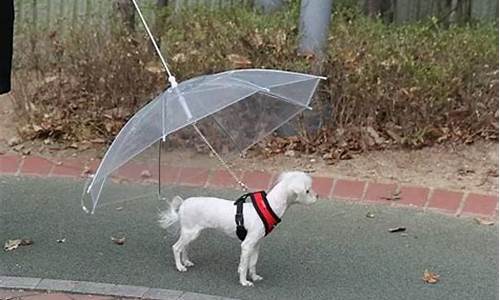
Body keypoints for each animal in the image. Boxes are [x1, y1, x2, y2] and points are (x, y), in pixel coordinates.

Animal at [158, 171, 318, 286]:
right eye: (307, 191)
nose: (317, 195)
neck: (268, 206)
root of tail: (183, 204)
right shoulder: (246, 245)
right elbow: (244, 265)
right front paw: (244, 281)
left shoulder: (256, 244)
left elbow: (252, 263)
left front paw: (254, 277)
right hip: (190, 232)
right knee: (176, 247)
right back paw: (180, 266)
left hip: (192, 232)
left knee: (184, 247)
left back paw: (186, 261)